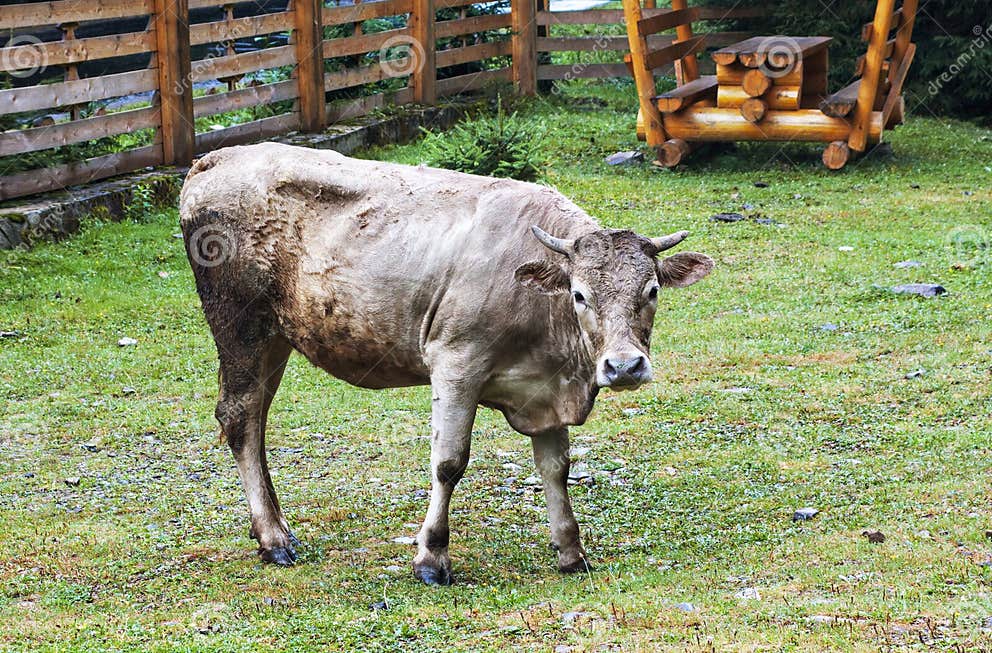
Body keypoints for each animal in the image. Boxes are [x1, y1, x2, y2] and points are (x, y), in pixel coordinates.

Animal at [179, 142, 713, 585]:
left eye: (652, 290)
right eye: (579, 295)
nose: (624, 367)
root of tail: (216, 158)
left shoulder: (546, 390)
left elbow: (556, 468)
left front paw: (570, 551)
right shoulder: (456, 361)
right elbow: (449, 463)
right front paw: (431, 558)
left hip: (275, 338)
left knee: (256, 422)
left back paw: (275, 529)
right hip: (240, 325)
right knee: (240, 417)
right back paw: (274, 541)